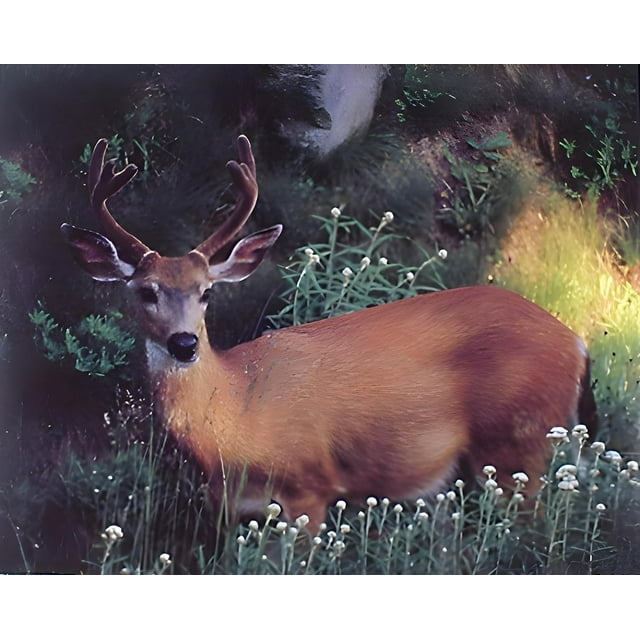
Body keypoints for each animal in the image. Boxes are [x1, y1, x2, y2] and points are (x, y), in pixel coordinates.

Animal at [61, 135, 597, 532]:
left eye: (207, 292)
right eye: (145, 291)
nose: (185, 343)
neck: (236, 417)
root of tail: (576, 342)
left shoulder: (309, 490)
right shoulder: (233, 512)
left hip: (516, 448)